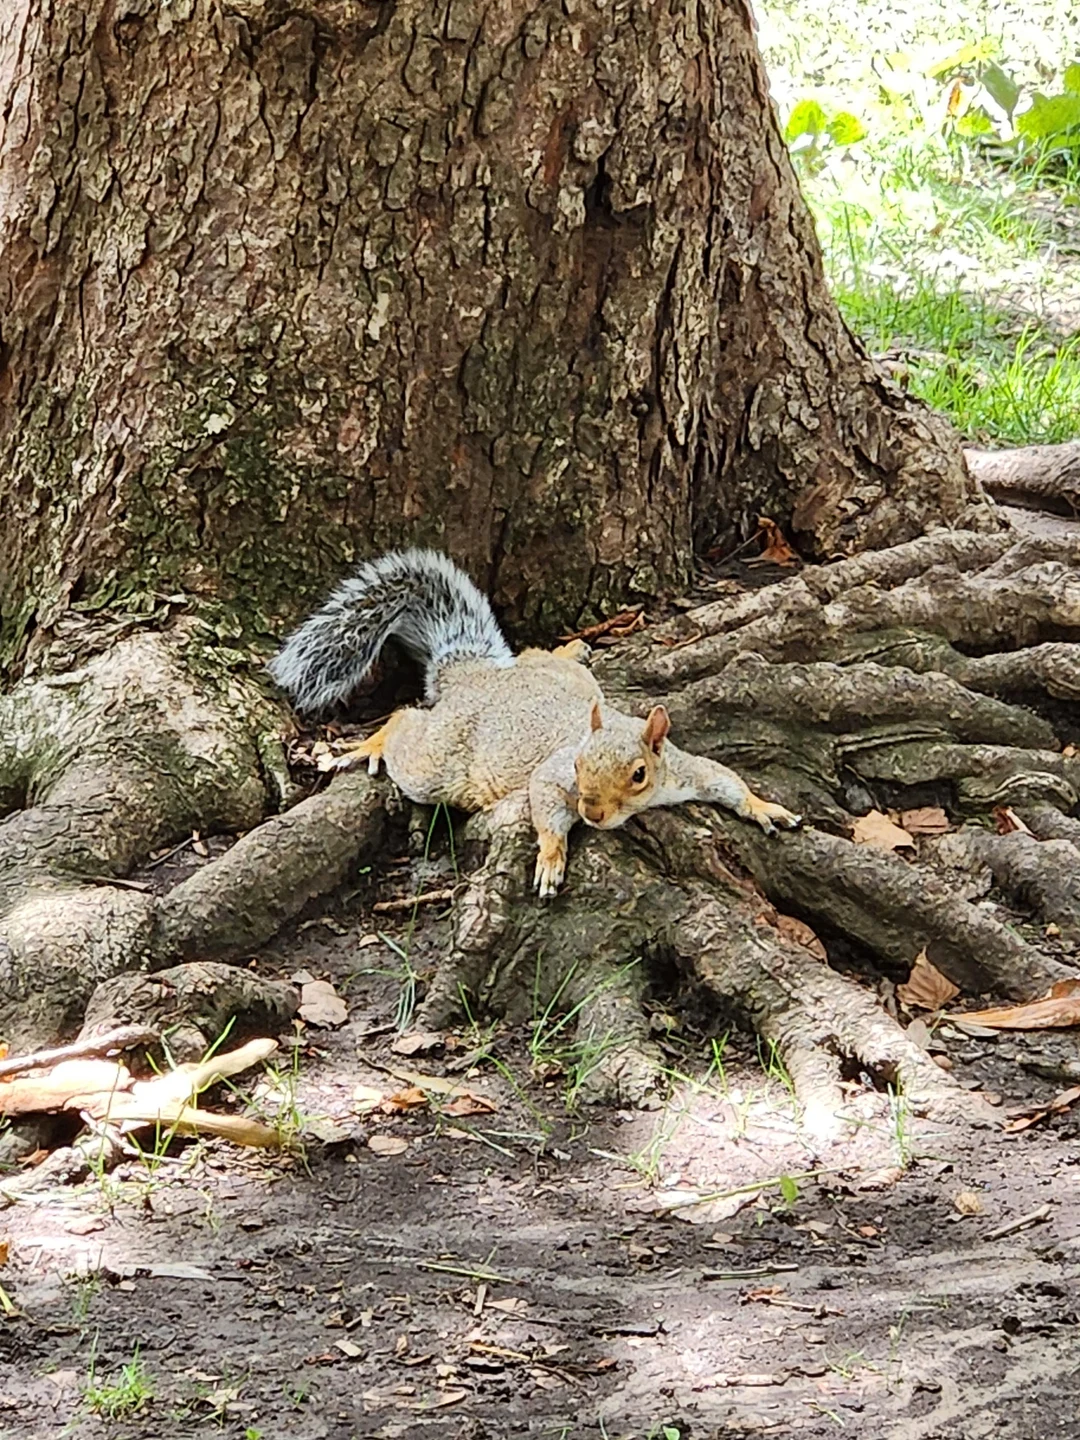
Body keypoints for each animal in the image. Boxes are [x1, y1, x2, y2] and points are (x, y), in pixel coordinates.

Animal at [269, 549, 800, 896]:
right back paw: (373, 744)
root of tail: (478, 676)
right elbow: (544, 805)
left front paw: (764, 808)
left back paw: (571, 649)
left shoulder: (682, 769)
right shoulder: (552, 776)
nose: (592, 812)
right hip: (435, 762)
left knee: (536, 656)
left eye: (639, 774)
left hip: (556, 678)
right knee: (405, 721)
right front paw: (550, 856)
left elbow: (724, 779)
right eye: (580, 766)